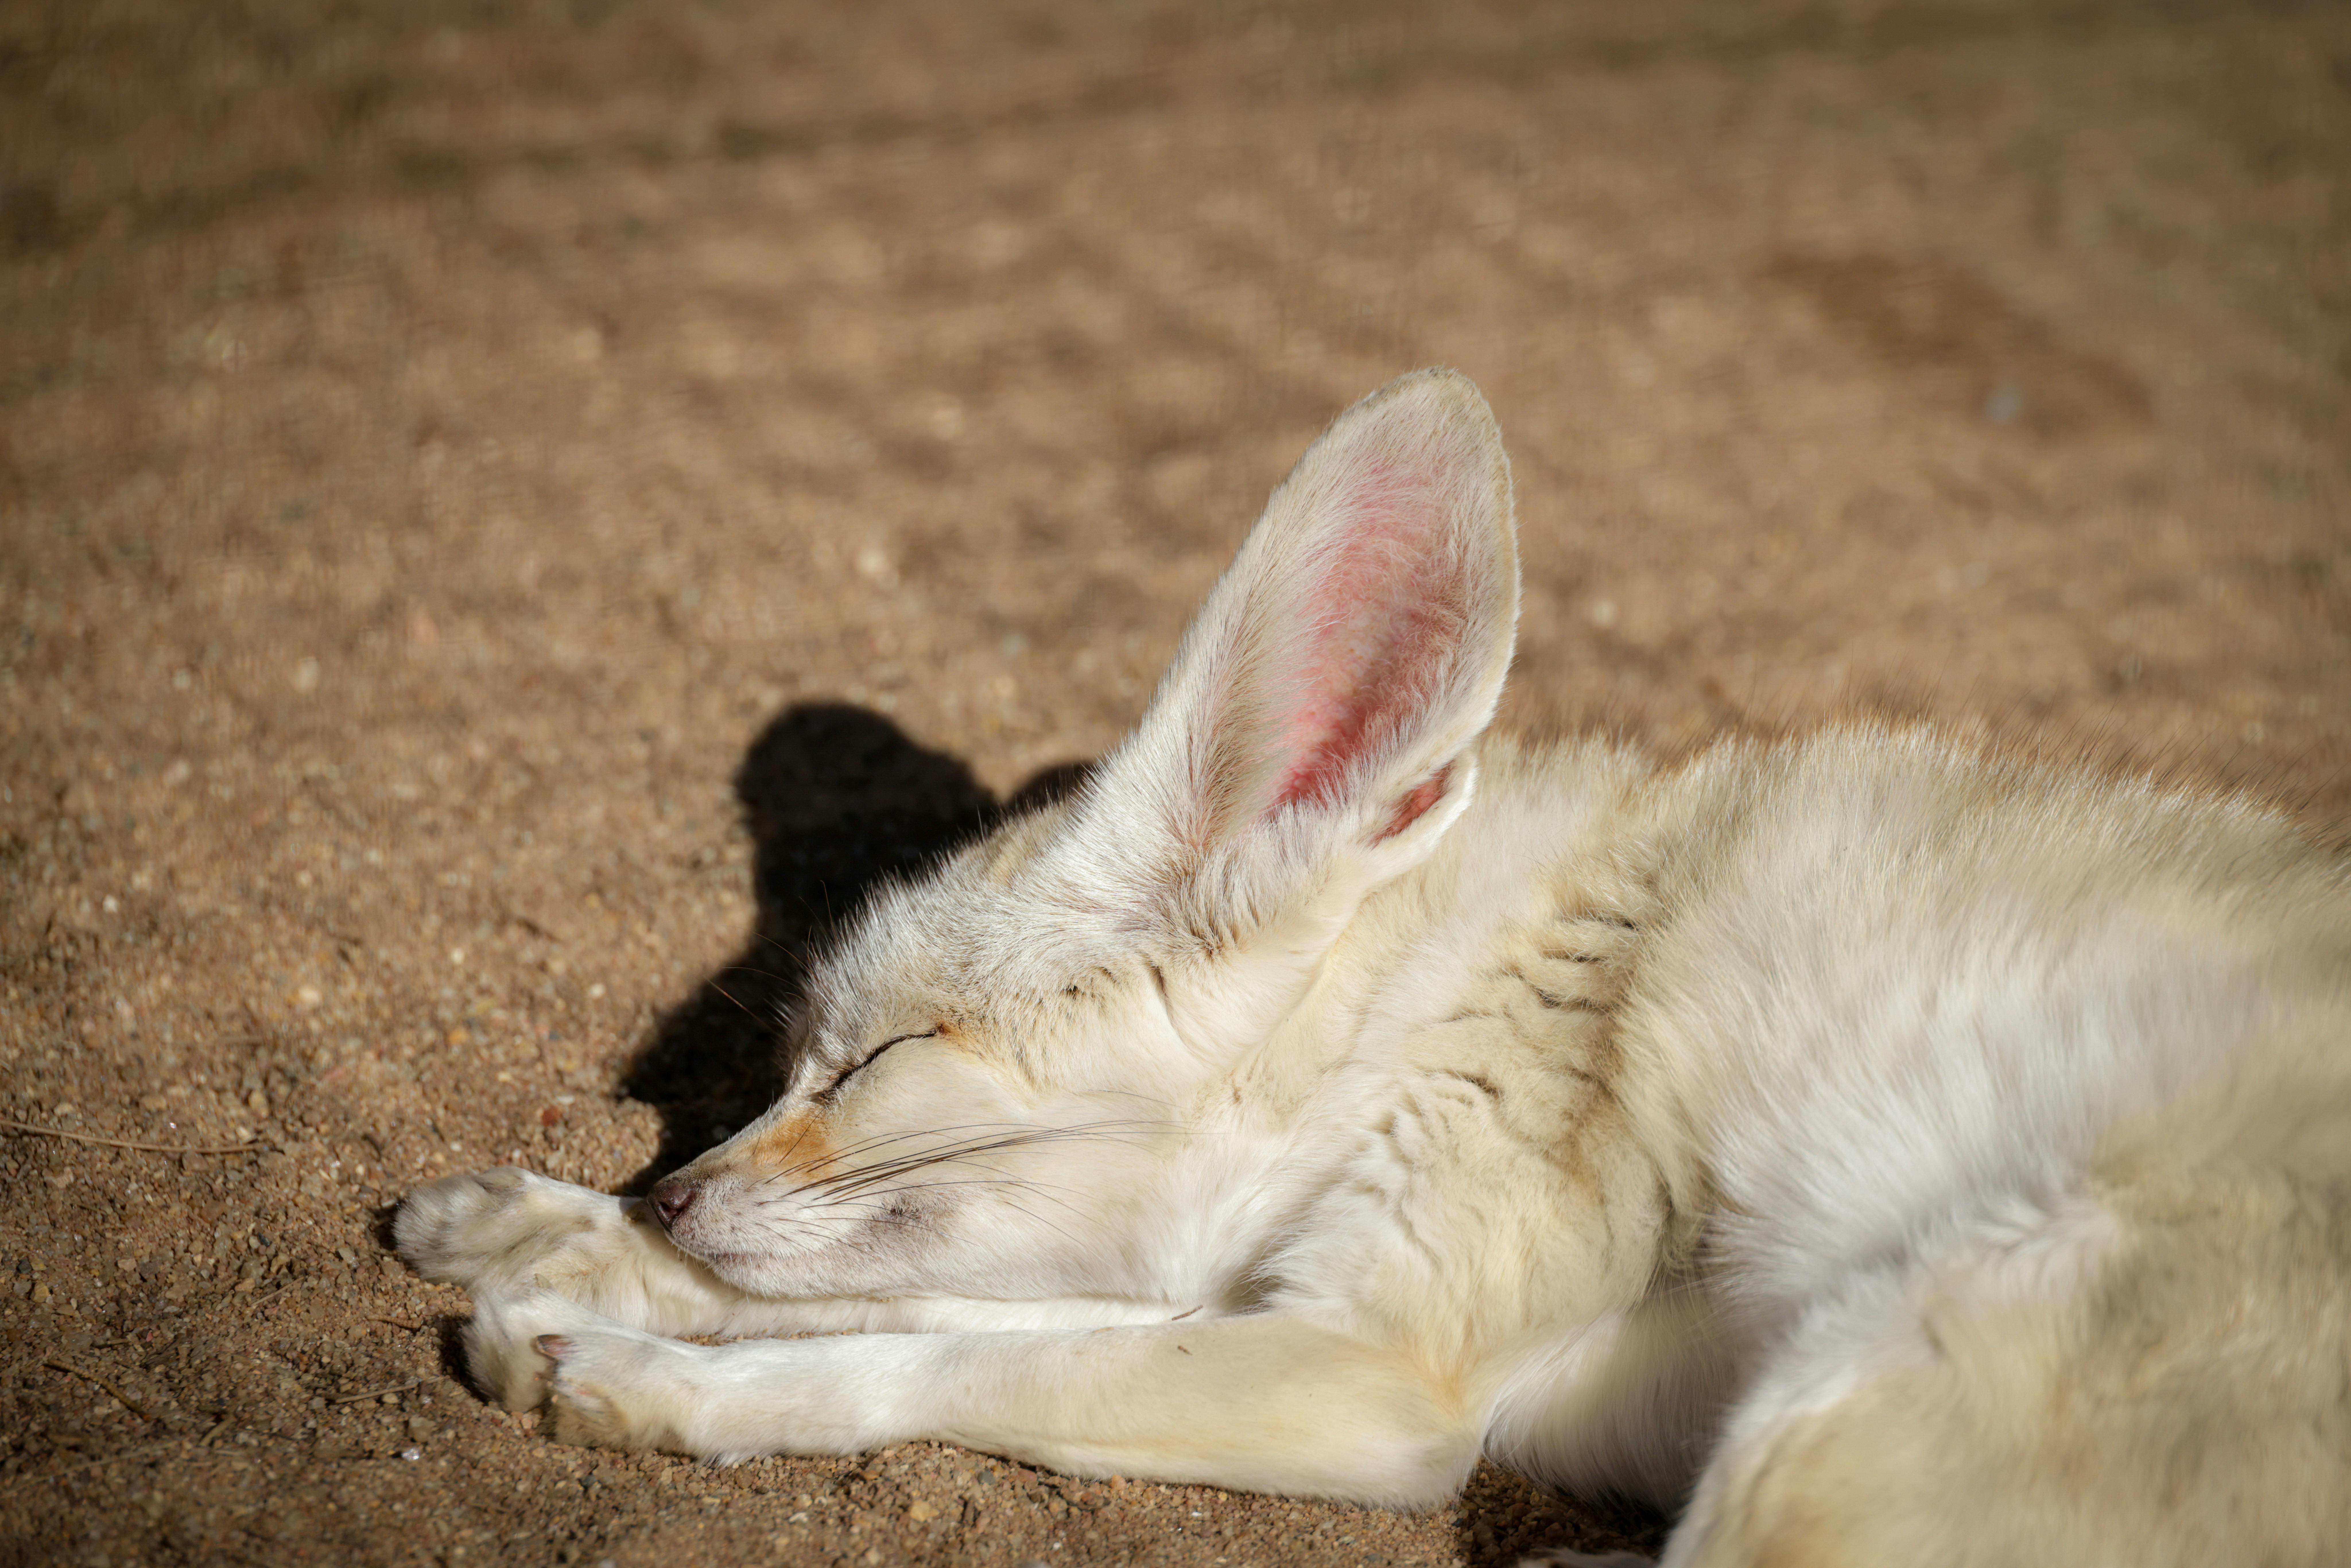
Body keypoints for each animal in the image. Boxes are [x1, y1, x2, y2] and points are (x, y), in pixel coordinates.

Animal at [397, 369, 2351, 1566]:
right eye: (784, 1060)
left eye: (874, 1061)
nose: (672, 1193)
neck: (1446, 995)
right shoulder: (1341, 1310)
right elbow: (949, 1308)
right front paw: (564, 1246)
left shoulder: (1384, 1373)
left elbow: (950, 1361)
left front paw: (648, 1380)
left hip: (1834, 1412)